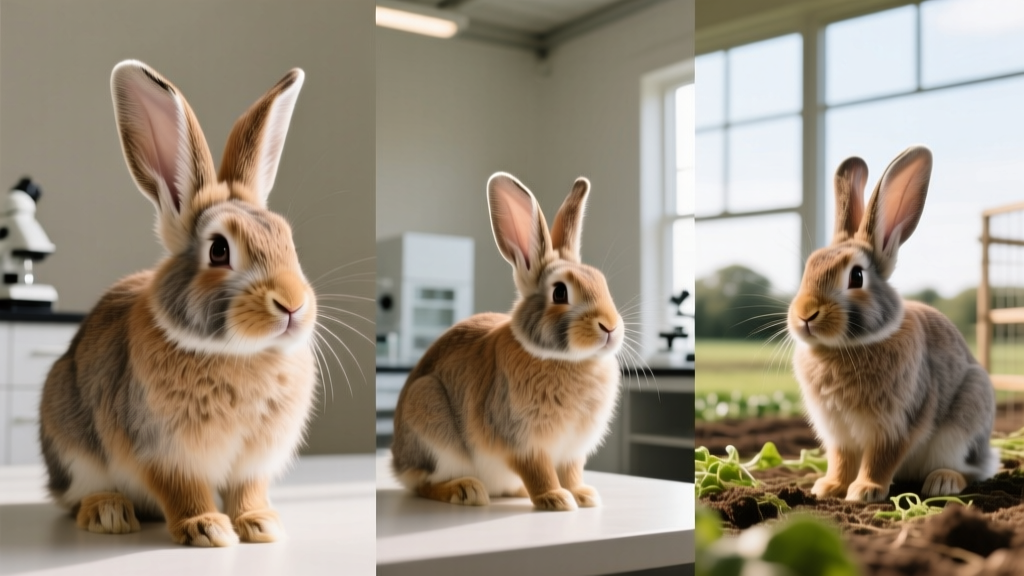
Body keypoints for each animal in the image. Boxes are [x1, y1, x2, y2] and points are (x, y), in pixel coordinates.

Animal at [37, 60, 317, 547]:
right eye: (219, 250)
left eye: (287, 241)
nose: (292, 305)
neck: (238, 354)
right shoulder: (164, 451)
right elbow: (183, 490)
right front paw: (207, 528)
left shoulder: (254, 461)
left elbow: (248, 490)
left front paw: (261, 524)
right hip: (71, 442)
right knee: (76, 497)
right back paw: (108, 513)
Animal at [390, 173, 624, 511]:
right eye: (560, 293)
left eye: (602, 284)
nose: (610, 327)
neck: (566, 360)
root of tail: (396, 463)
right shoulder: (522, 440)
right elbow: (538, 470)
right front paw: (555, 499)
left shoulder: (571, 451)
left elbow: (571, 472)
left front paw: (583, 495)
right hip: (428, 415)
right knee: (423, 484)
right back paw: (466, 490)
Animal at [788, 145, 997, 504]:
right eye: (810, 268)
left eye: (856, 276)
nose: (805, 314)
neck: (847, 347)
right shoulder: (838, 433)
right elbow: (841, 459)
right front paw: (829, 487)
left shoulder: (898, 423)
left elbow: (881, 458)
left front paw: (864, 491)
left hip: (967, 419)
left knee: (971, 471)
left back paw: (943, 481)